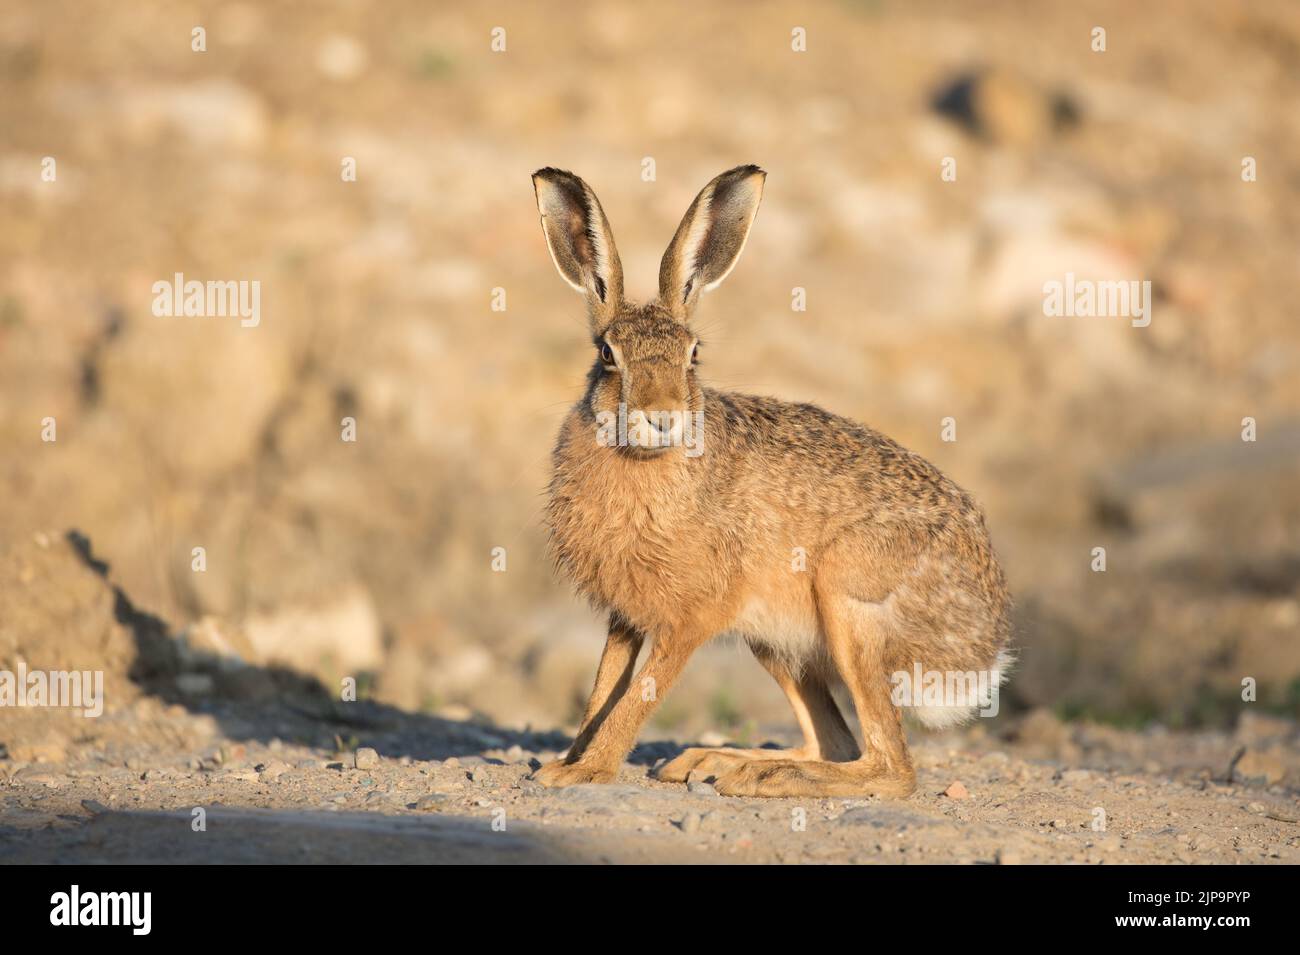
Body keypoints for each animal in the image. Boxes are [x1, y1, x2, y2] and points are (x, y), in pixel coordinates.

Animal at [529, 164, 1012, 797]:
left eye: (693, 355)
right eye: (607, 354)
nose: (662, 416)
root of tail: (981, 651)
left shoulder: (694, 615)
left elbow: (637, 697)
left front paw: (589, 770)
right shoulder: (626, 612)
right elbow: (603, 688)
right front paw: (568, 761)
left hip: (849, 600)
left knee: (890, 768)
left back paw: (768, 777)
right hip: (777, 640)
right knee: (837, 742)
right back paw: (718, 762)